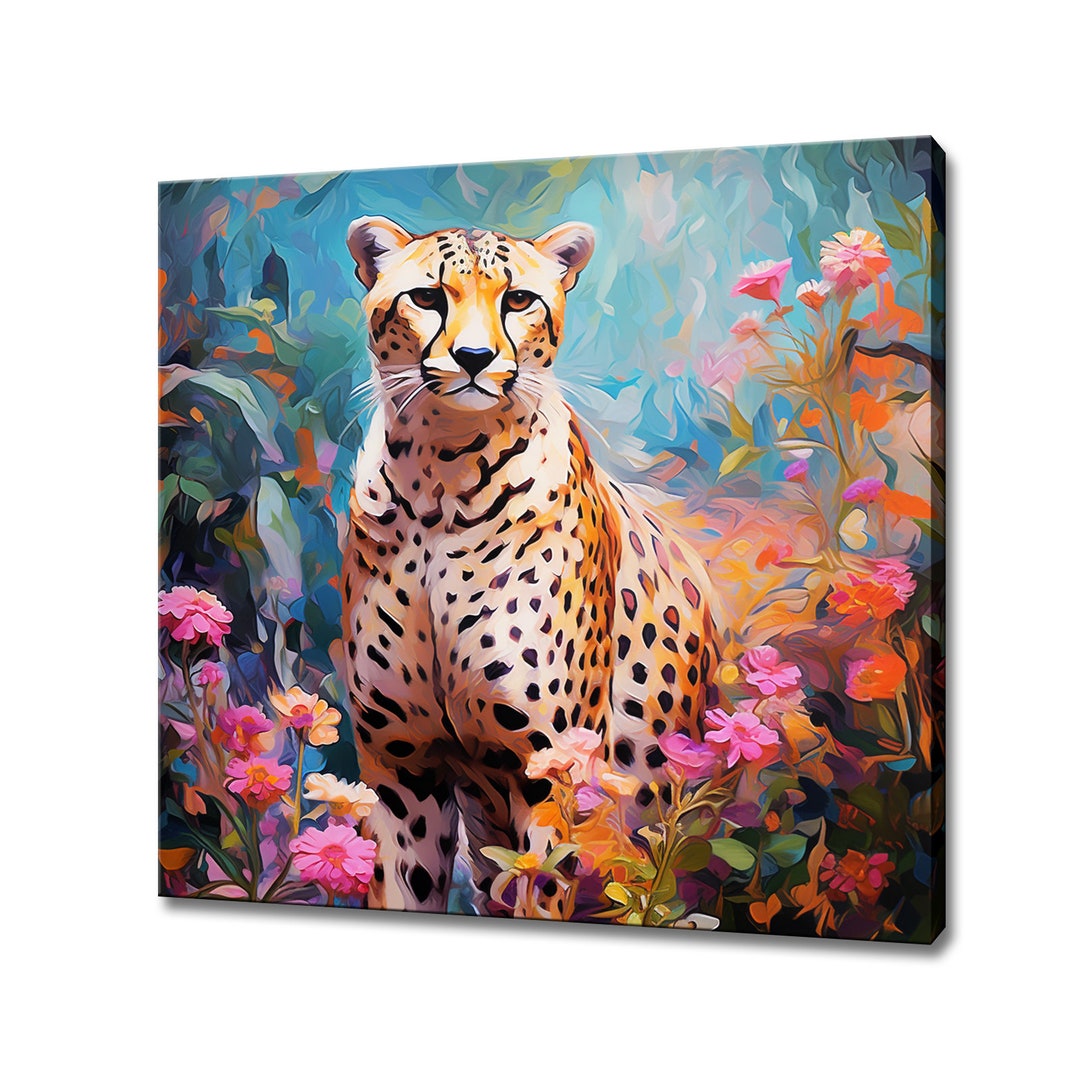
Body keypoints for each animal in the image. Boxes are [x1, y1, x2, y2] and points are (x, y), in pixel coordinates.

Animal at [340, 214, 724, 915]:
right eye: (426, 297)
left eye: (518, 300)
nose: (473, 358)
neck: (441, 478)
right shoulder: (401, 769)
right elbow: (404, 887)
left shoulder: (548, 768)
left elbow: (542, 885)